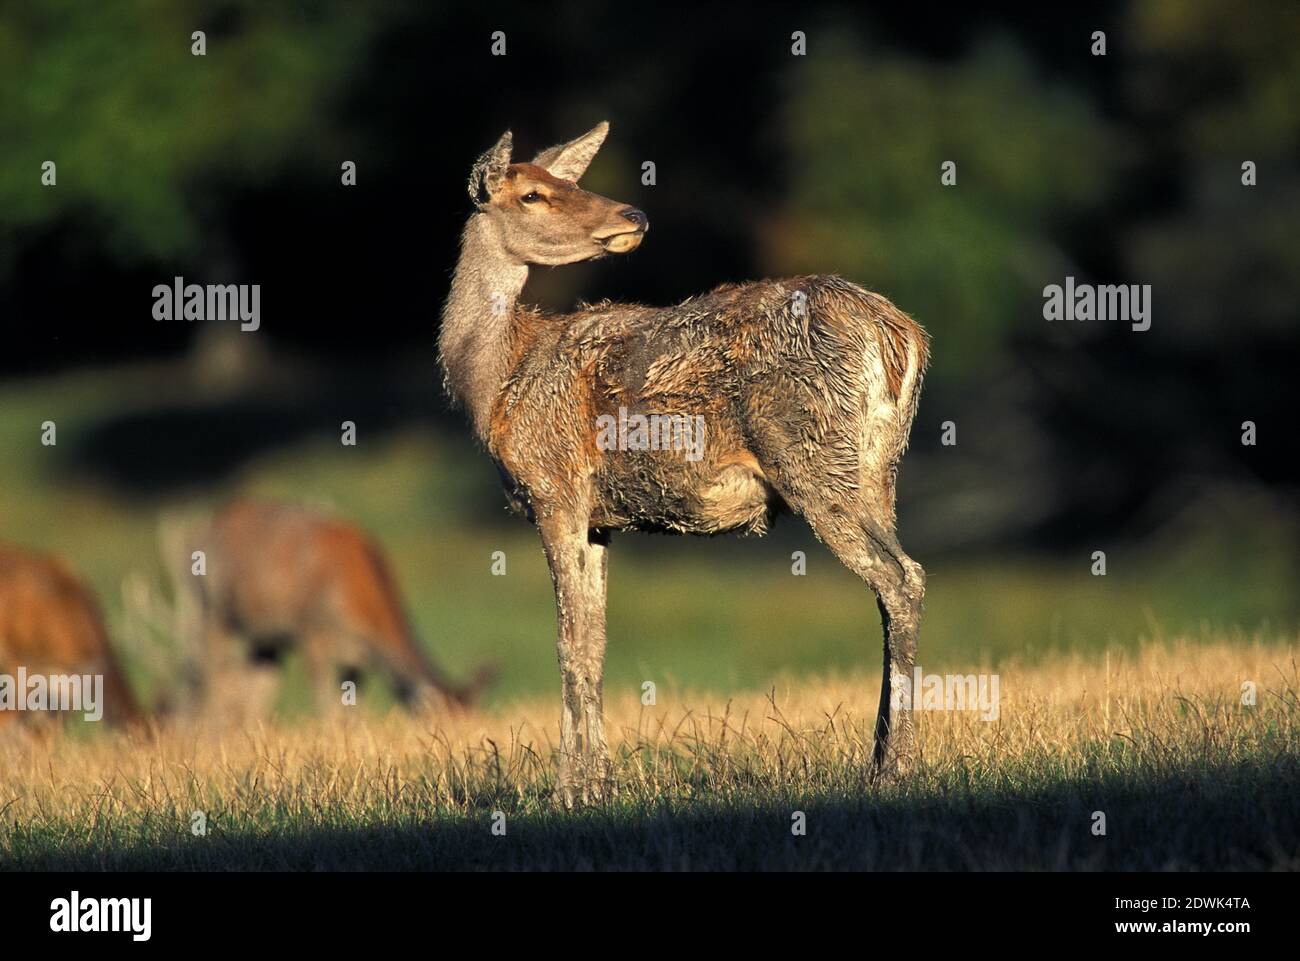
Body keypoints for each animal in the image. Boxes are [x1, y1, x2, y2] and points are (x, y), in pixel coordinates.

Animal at [166, 499, 494, 719]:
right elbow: (325, 704)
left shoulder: (358, 661)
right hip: (209, 608)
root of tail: (199, 529)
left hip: (266, 635)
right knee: (207, 672)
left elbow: (352, 710)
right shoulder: (313, 633)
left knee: (257, 682)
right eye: (438, 722)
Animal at [438, 122, 928, 807]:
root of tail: (899, 336)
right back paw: (882, 757)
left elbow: (567, 643)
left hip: (814, 457)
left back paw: (894, 769)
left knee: (900, 578)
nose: (633, 214)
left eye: (564, 181)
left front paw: (565, 792)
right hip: (881, 470)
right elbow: (596, 643)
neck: (495, 387)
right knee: (895, 581)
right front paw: (601, 785)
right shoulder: (600, 519)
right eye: (534, 193)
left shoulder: (555, 487)